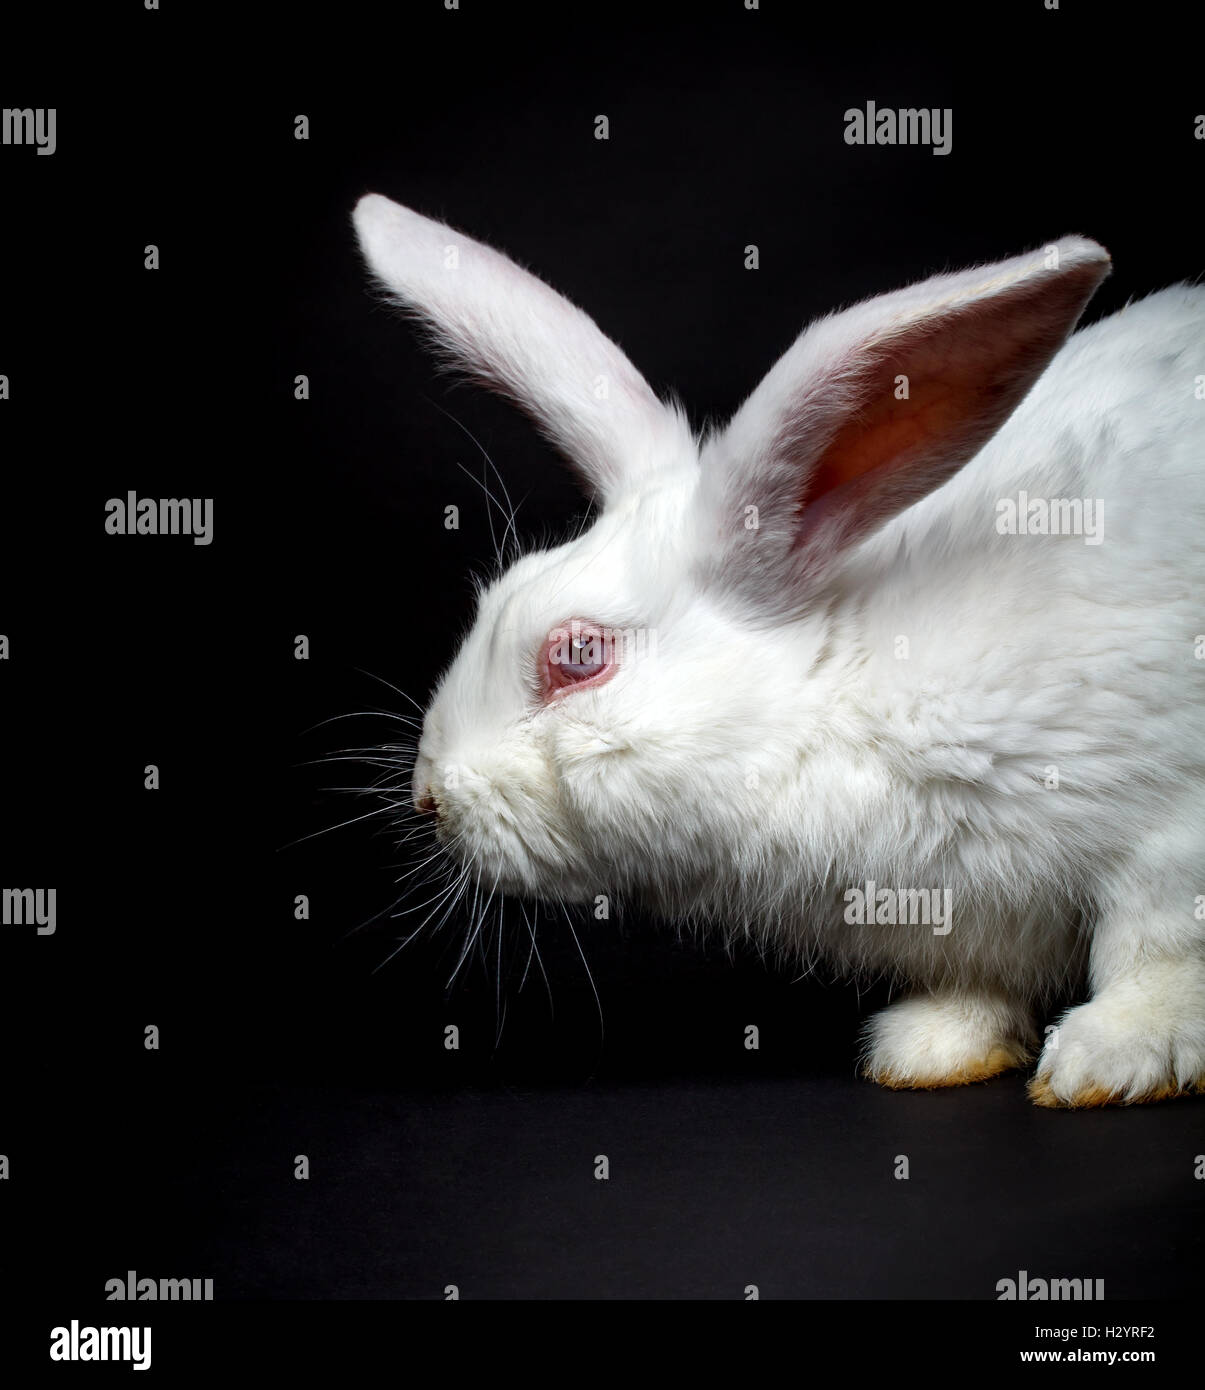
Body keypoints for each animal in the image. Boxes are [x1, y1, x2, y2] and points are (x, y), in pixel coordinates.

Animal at [352, 191, 1205, 1107]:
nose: (428, 799)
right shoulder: (971, 918)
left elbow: (1153, 951)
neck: (840, 687)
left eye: (577, 656)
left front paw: (1110, 1060)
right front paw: (927, 1051)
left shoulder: (1167, 838)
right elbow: (978, 984)